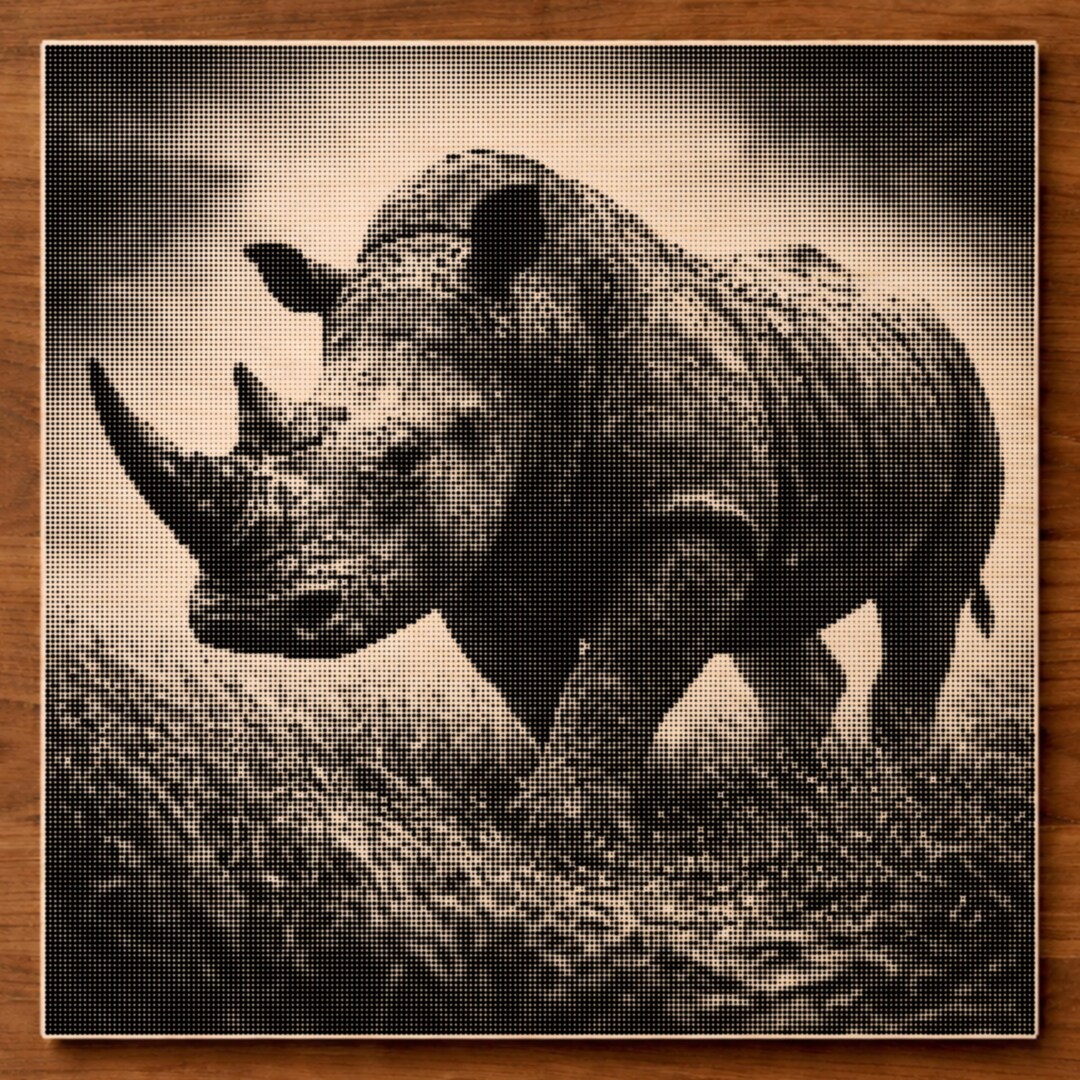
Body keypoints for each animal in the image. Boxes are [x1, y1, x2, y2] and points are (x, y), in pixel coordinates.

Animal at [89, 150, 1003, 858]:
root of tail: (928, 317)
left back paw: (887, 796)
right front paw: (632, 809)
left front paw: (570, 831)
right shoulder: (475, 540)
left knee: (928, 598)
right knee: (774, 602)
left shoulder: (688, 509)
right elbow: (540, 679)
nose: (245, 621)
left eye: (404, 458)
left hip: (969, 399)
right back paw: (775, 786)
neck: (529, 330)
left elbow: (623, 664)